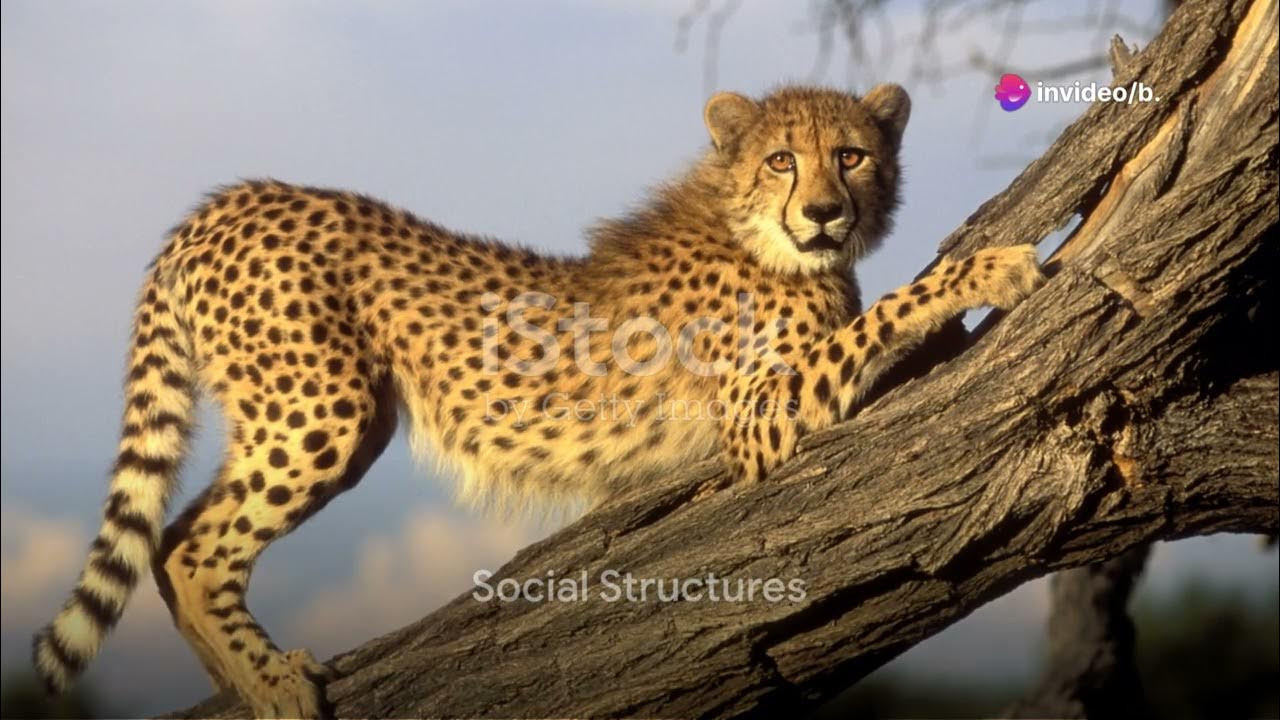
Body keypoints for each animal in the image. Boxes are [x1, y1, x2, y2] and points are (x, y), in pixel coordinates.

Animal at [33, 84, 1043, 718]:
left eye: (852, 155)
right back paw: (271, 683)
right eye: (782, 162)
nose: (828, 211)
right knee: (193, 544)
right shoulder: (758, 419)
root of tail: (225, 201)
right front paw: (987, 269)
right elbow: (887, 314)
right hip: (323, 410)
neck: (753, 231)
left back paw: (240, 680)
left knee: (170, 535)